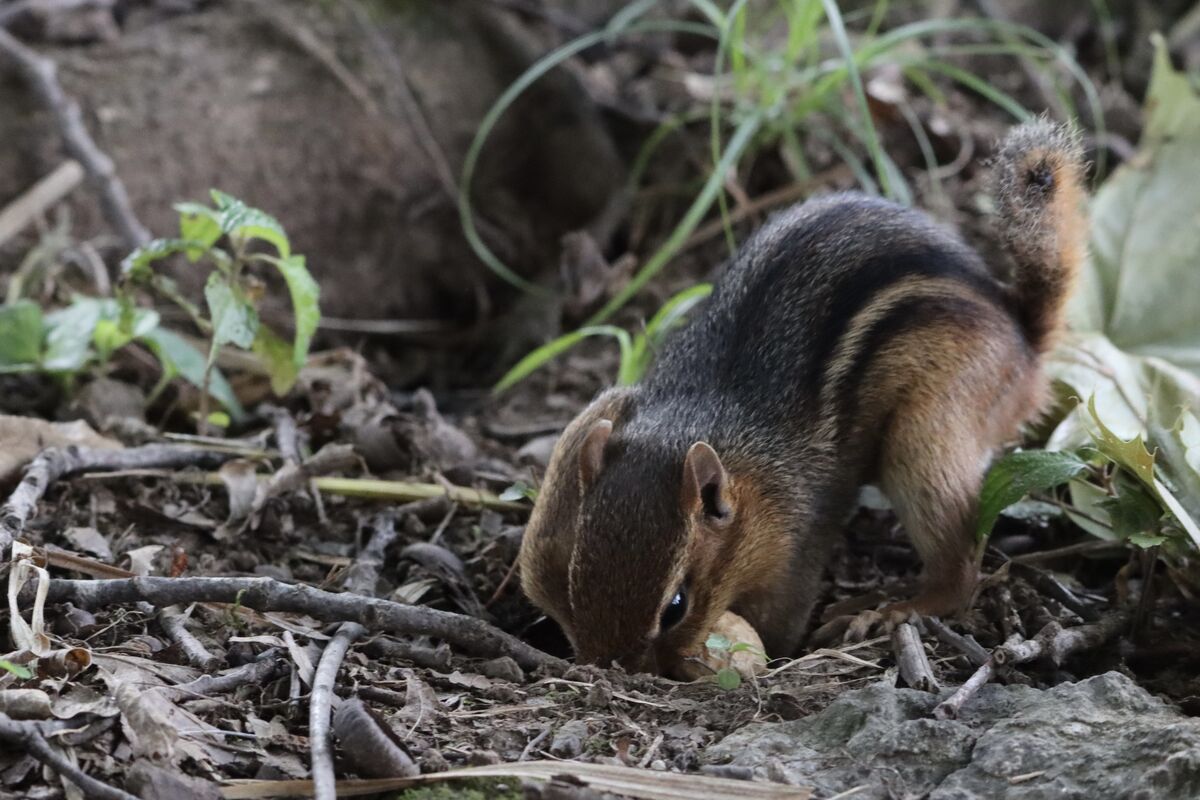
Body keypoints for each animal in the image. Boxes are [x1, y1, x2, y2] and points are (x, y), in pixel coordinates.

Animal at [518, 119, 1086, 676]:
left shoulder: (796, 536)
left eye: (676, 606)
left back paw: (893, 608)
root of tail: (1023, 336)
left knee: (960, 571)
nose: (614, 669)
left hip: (929, 431)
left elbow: (783, 618)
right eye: (573, 580)